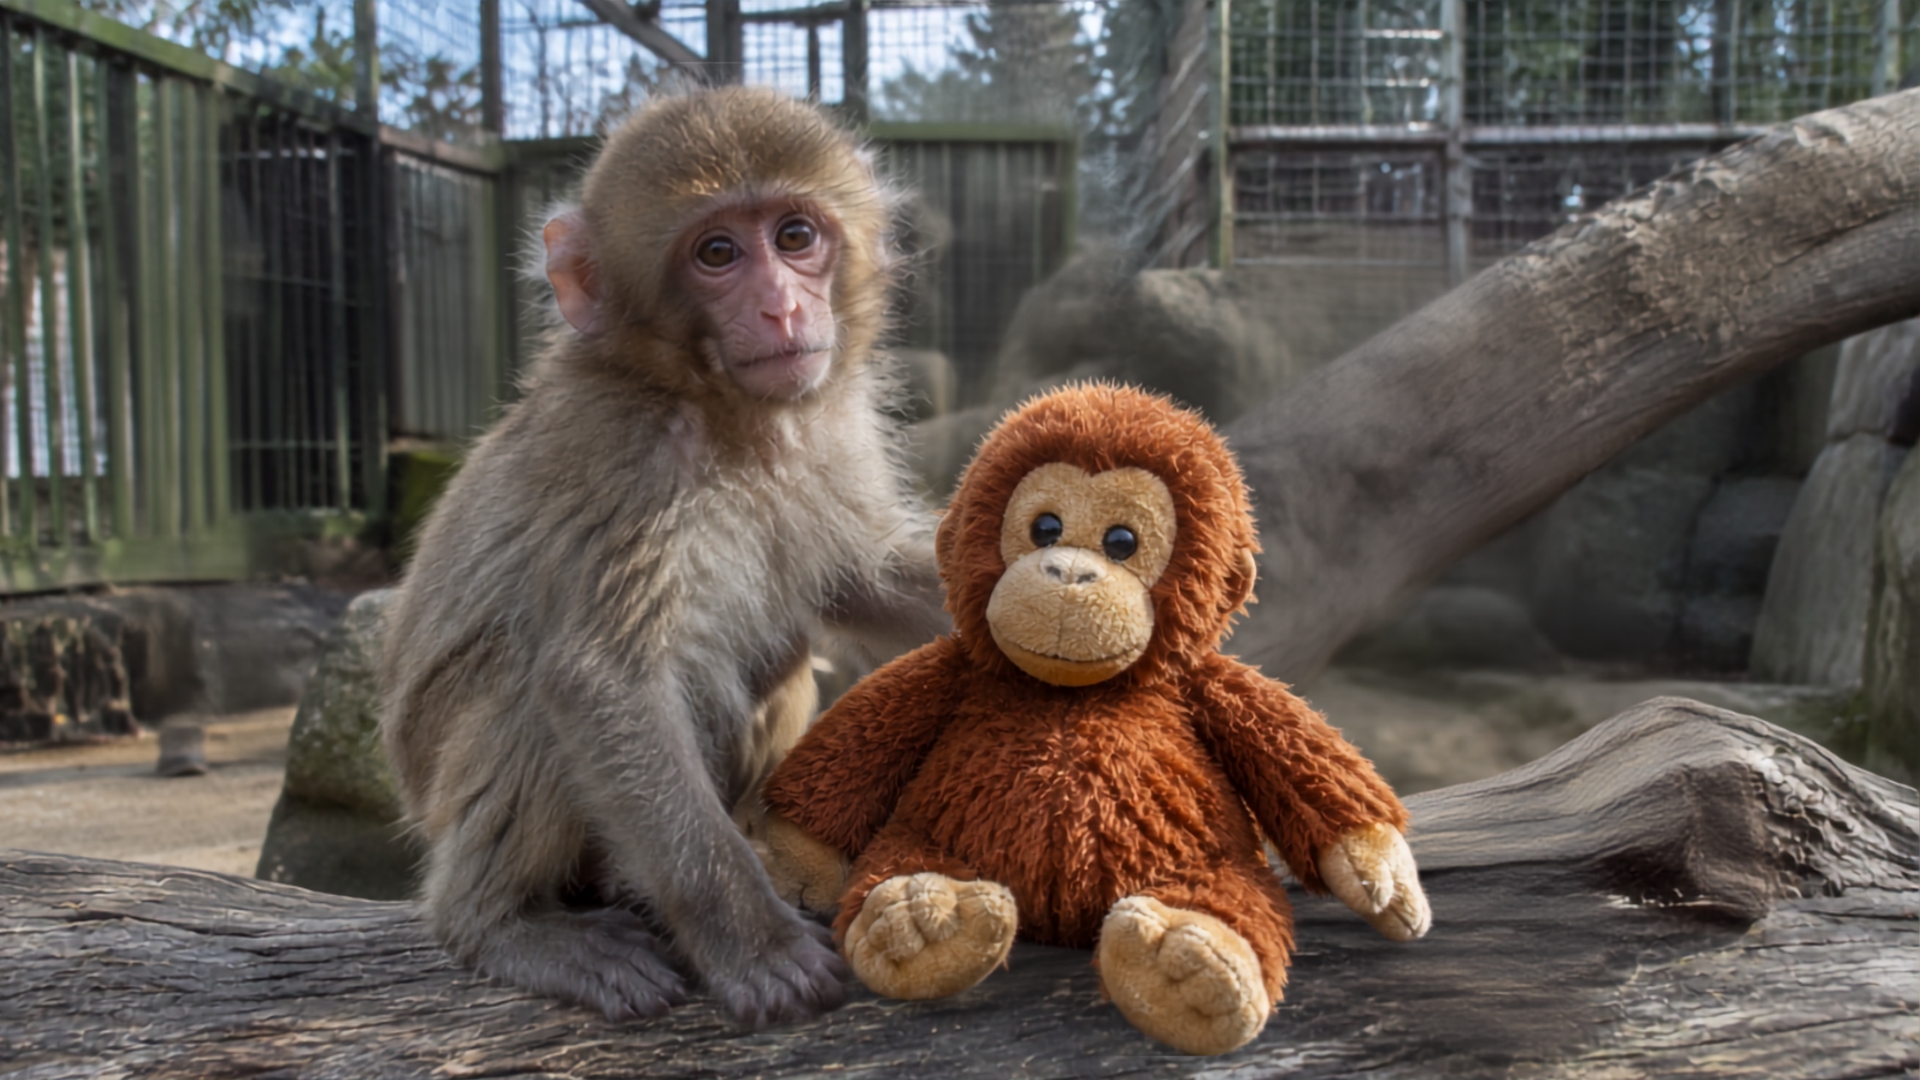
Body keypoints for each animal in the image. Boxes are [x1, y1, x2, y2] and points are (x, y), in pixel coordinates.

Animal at [378, 87, 948, 1028]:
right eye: (717, 253)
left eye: (795, 236)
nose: (784, 310)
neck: (730, 417)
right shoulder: (619, 453)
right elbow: (597, 678)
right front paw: (755, 945)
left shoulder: (831, 424)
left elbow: (861, 579)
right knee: (530, 688)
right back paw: (501, 925)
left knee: (780, 657)